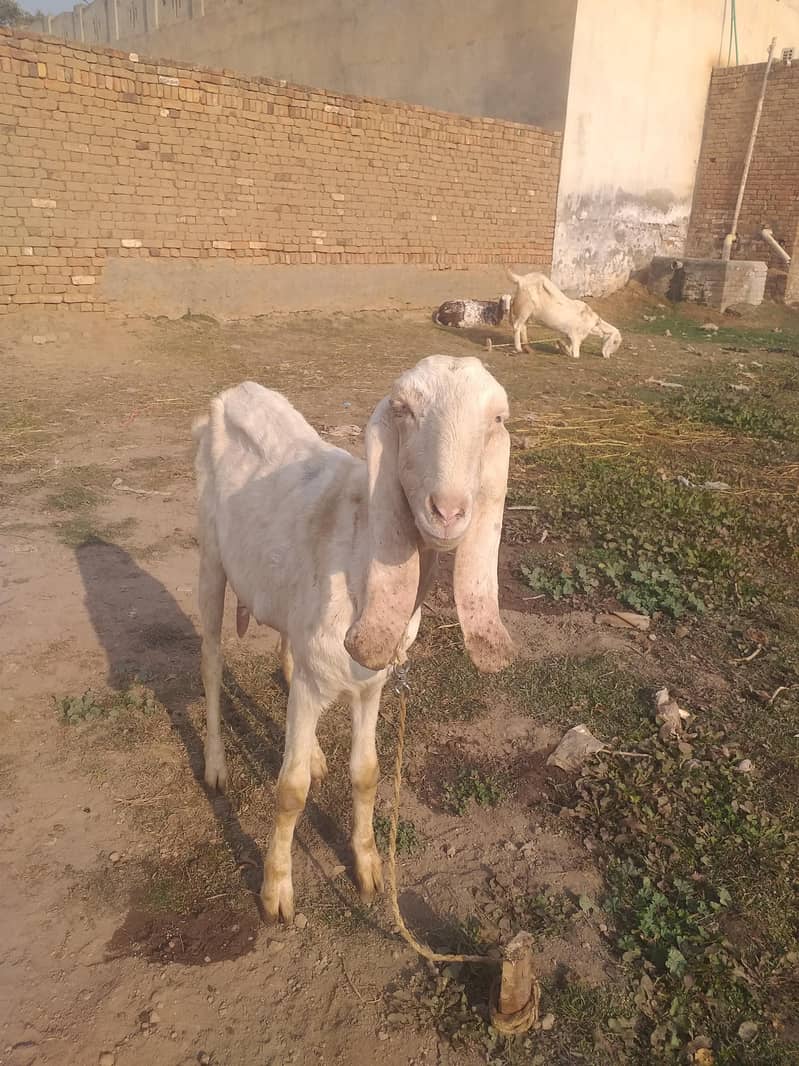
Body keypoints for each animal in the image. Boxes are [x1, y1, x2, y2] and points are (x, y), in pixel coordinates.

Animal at [193, 356, 515, 923]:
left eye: (497, 419)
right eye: (404, 409)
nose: (449, 511)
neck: (360, 550)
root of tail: (235, 392)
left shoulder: (371, 687)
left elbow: (366, 773)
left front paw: (368, 869)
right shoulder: (317, 686)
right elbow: (291, 789)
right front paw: (276, 892)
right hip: (211, 556)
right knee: (211, 660)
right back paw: (215, 766)